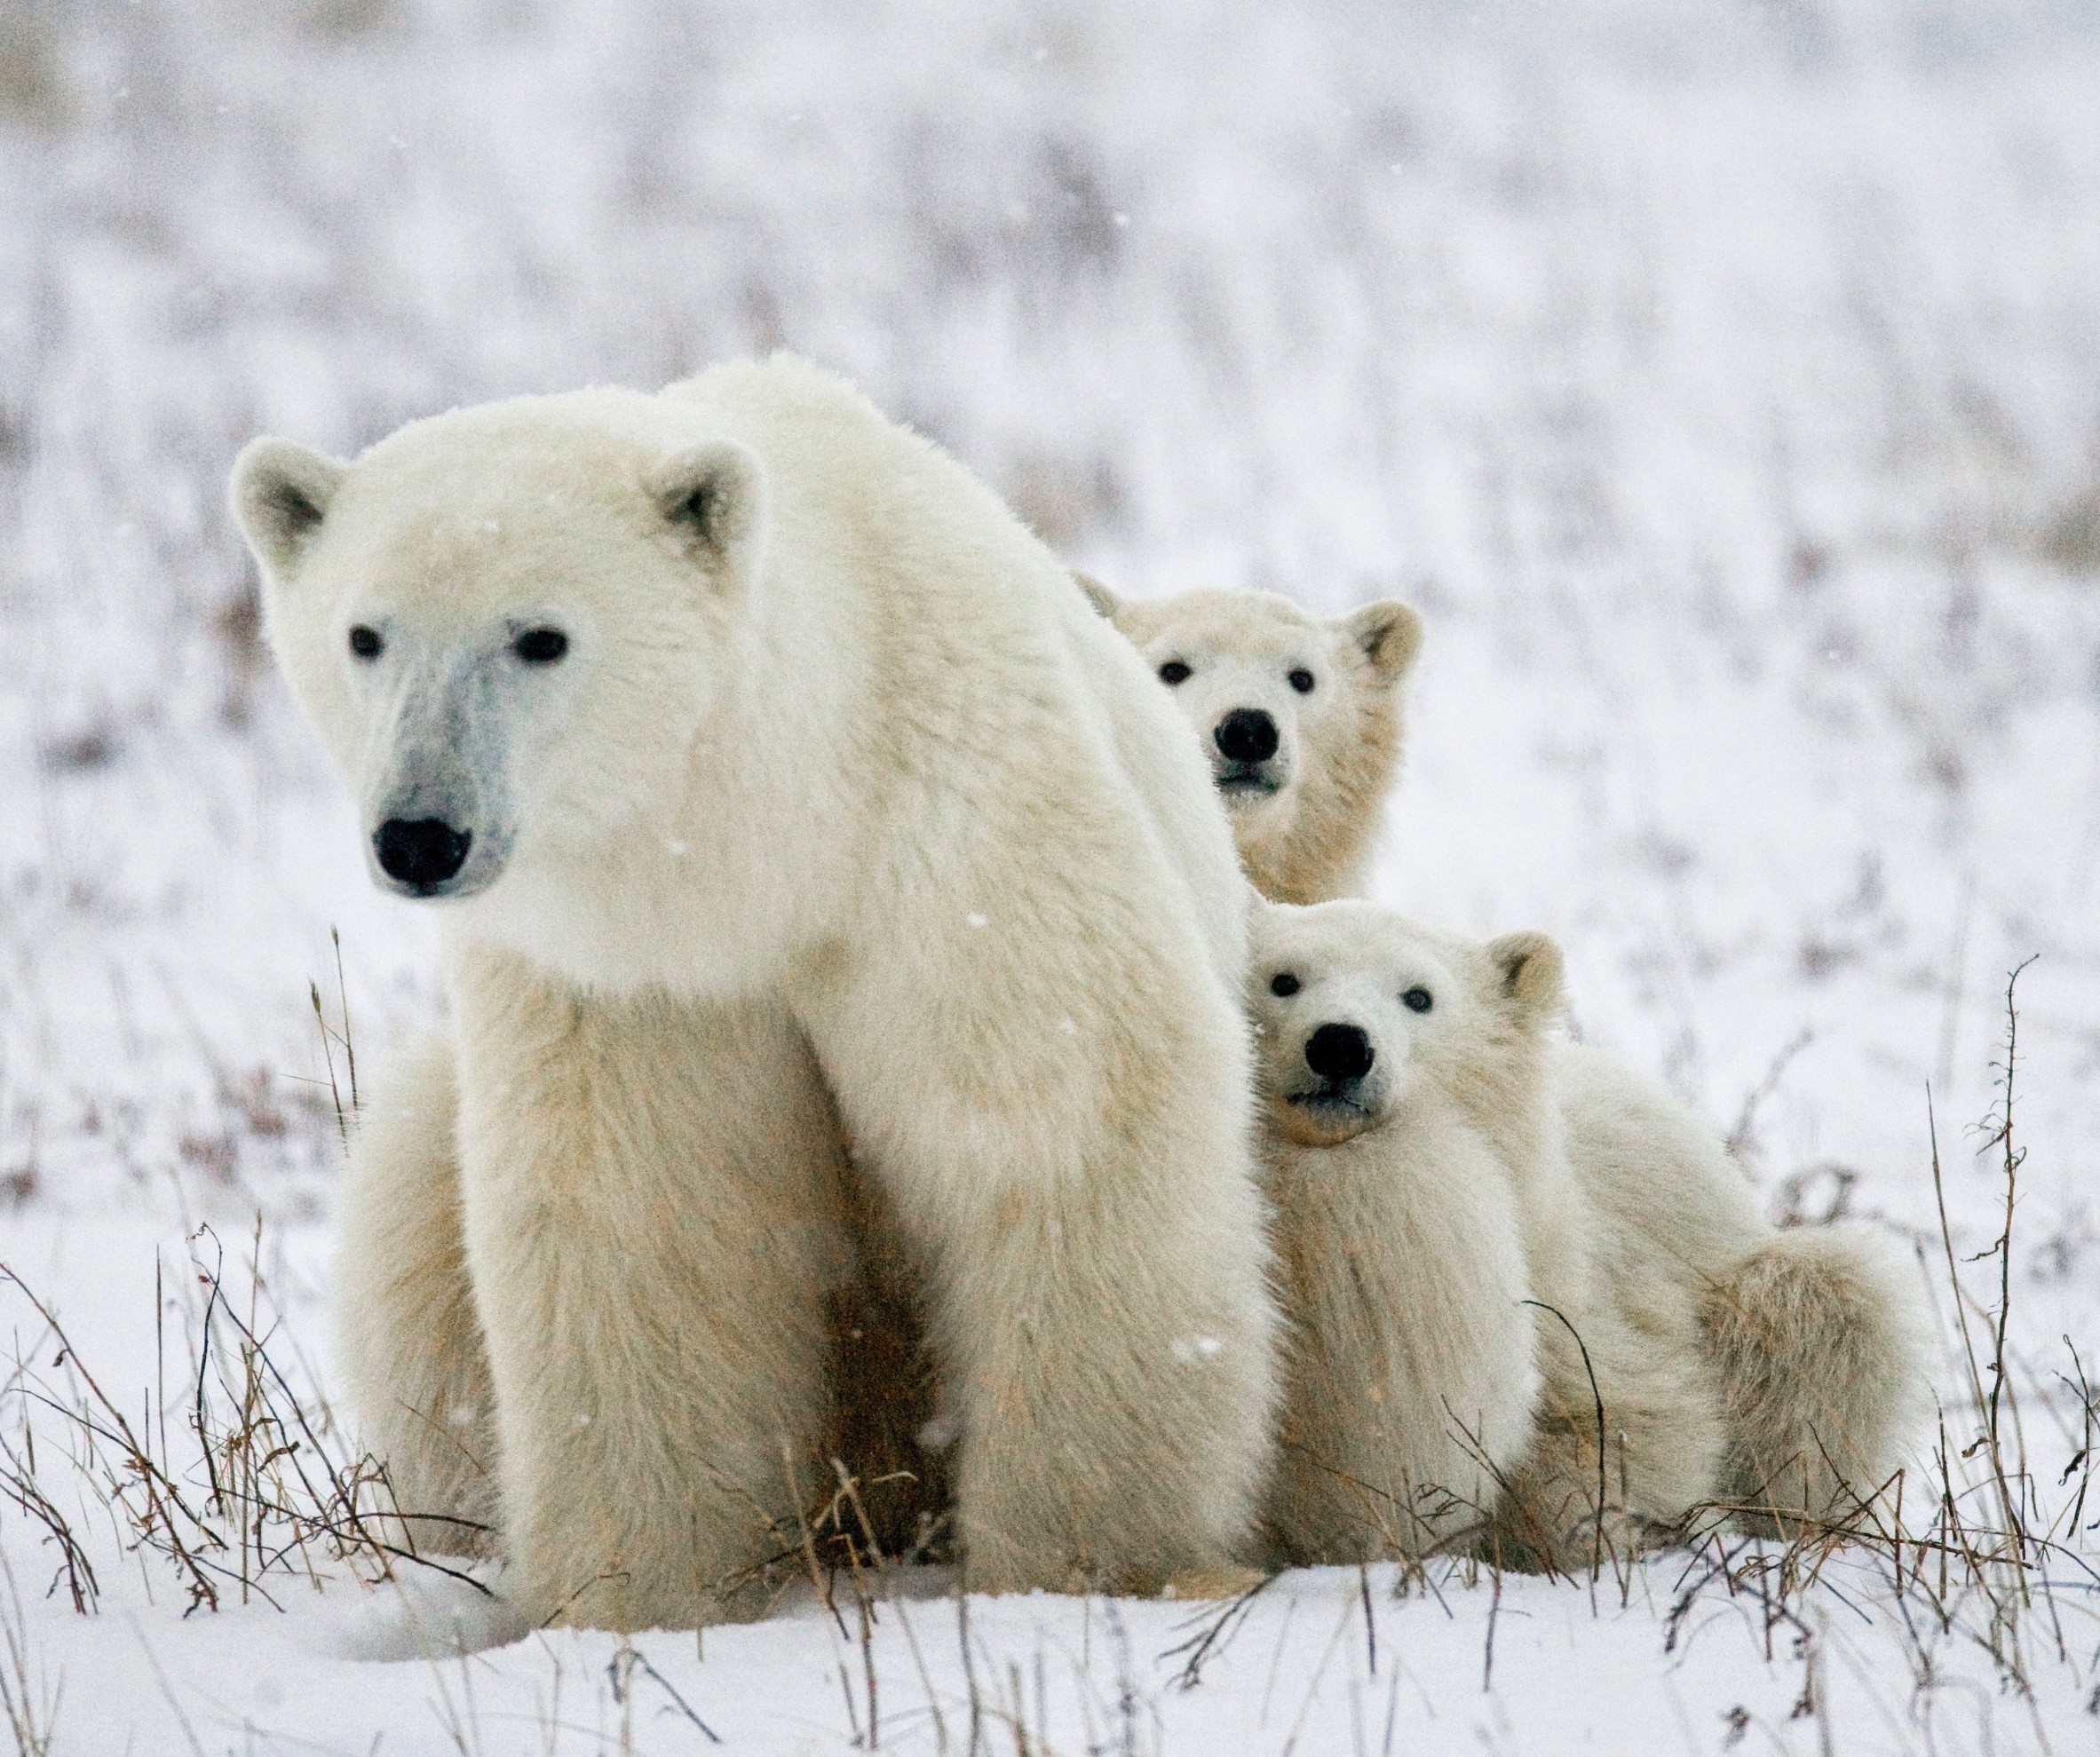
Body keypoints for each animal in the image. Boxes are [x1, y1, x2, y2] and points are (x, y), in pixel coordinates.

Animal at [231, 355, 1280, 1628]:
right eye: (364, 633)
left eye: (541, 636)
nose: (422, 833)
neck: (781, 825)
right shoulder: (637, 976)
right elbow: (645, 1211)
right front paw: (638, 1592)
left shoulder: (953, 829)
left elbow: (1053, 1122)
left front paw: (1083, 1567)